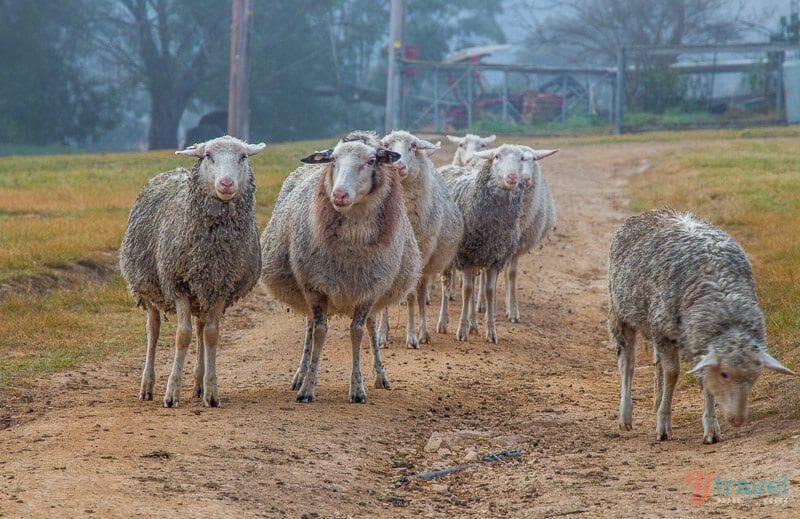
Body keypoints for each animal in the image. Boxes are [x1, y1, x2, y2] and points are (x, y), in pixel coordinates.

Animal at [119, 135, 265, 408]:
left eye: (243, 157)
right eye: (208, 156)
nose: (226, 183)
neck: (214, 249)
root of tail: (173, 171)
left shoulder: (221, 286)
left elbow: (211, 335)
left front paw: (212, 392)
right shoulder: (178, 285)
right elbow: (182, 336)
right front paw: (171, 393)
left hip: (202, 292)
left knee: (201, 327)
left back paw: (198, 384)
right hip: (148, 286)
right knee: (153, 329)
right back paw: (147, 386)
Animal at [260, 138, 421, 403]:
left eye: (371, 161)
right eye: (333, 160)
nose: (339, 194)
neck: (352, 247)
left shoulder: (368, 291)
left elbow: (357, 332)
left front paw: (358, 388)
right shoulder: (315, 286)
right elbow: (319, 333)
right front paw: (308, 387)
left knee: (371, 326)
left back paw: (380, 375)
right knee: (310, 327)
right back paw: (301, 374)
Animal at [378, 130, 464, 348]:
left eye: (412, 147)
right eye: (386, 147)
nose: (398, 166)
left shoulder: (419, 258)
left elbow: (412, 297)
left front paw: (412, 337)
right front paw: (382, 334)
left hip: (441, 259)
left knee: (437, 288)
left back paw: (435, 326)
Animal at [445, 144, 526, 343]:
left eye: (522, 158)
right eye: (496, 156)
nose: (512, 177)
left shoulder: (495, 259)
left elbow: (489, 292)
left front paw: (491, 331)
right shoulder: (465, 256)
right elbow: (466, 291)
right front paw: (462, 330)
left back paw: (474, 325)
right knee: (446, 287)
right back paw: (442, 322)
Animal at [608, 209, 795, 443]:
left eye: (755, 376)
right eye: (725, 374)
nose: (738, 420)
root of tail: (654, 211)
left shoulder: (694, 340)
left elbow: (701, 378)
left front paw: (711, 427)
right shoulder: (665, 333)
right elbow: (673, 373)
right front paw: (663, 425)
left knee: (656, 363)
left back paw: (657, 400)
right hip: (621, 312)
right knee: (627, 363)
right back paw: (625, 416)